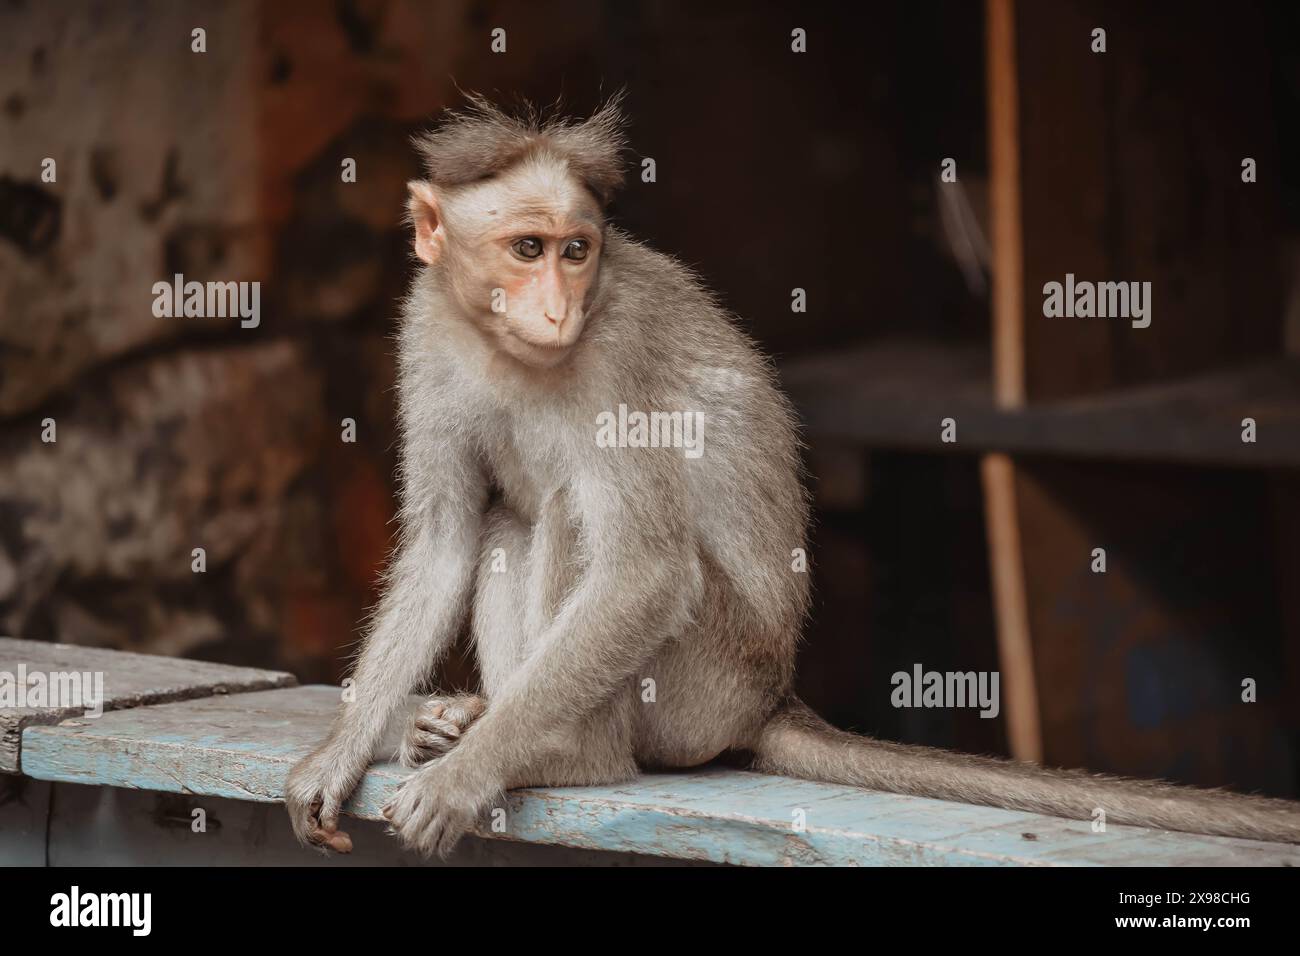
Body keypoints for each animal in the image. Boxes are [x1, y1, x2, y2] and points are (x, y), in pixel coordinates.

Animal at [285, 94, 1300, 858]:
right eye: (527, 248)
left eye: (577, 249)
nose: (560, 305)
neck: (505, 348)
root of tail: (770, 695)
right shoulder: (426, 338)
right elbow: (446, 540)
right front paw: (340, 753)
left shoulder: (615, 360)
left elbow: (646, 572)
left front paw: (467, 773)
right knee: (508, 522)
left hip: (703, 689)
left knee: (582, 518)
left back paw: (562, 756)